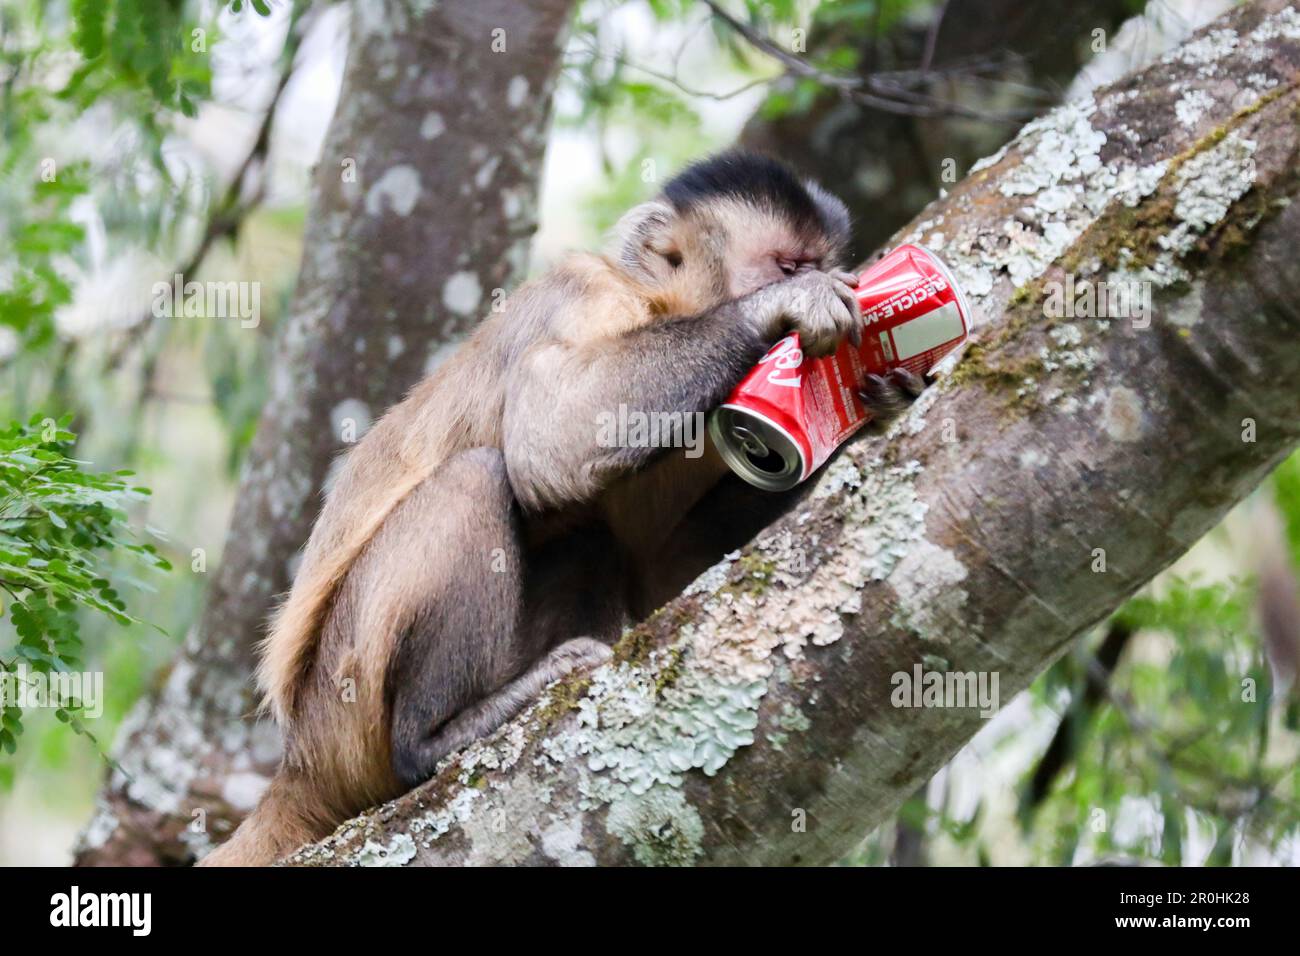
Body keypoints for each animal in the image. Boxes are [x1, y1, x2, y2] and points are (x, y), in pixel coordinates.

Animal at [199, 151, 924, 866]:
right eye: (792, 266)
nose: (830, 278)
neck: (651, 307)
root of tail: (297, 761)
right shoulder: (586, 295)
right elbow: (550, 437)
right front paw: (780, 308)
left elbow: (662, 573)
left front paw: (881, 400)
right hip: (343, 701)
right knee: (479, 479)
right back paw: (435, 737)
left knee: (587, 536)